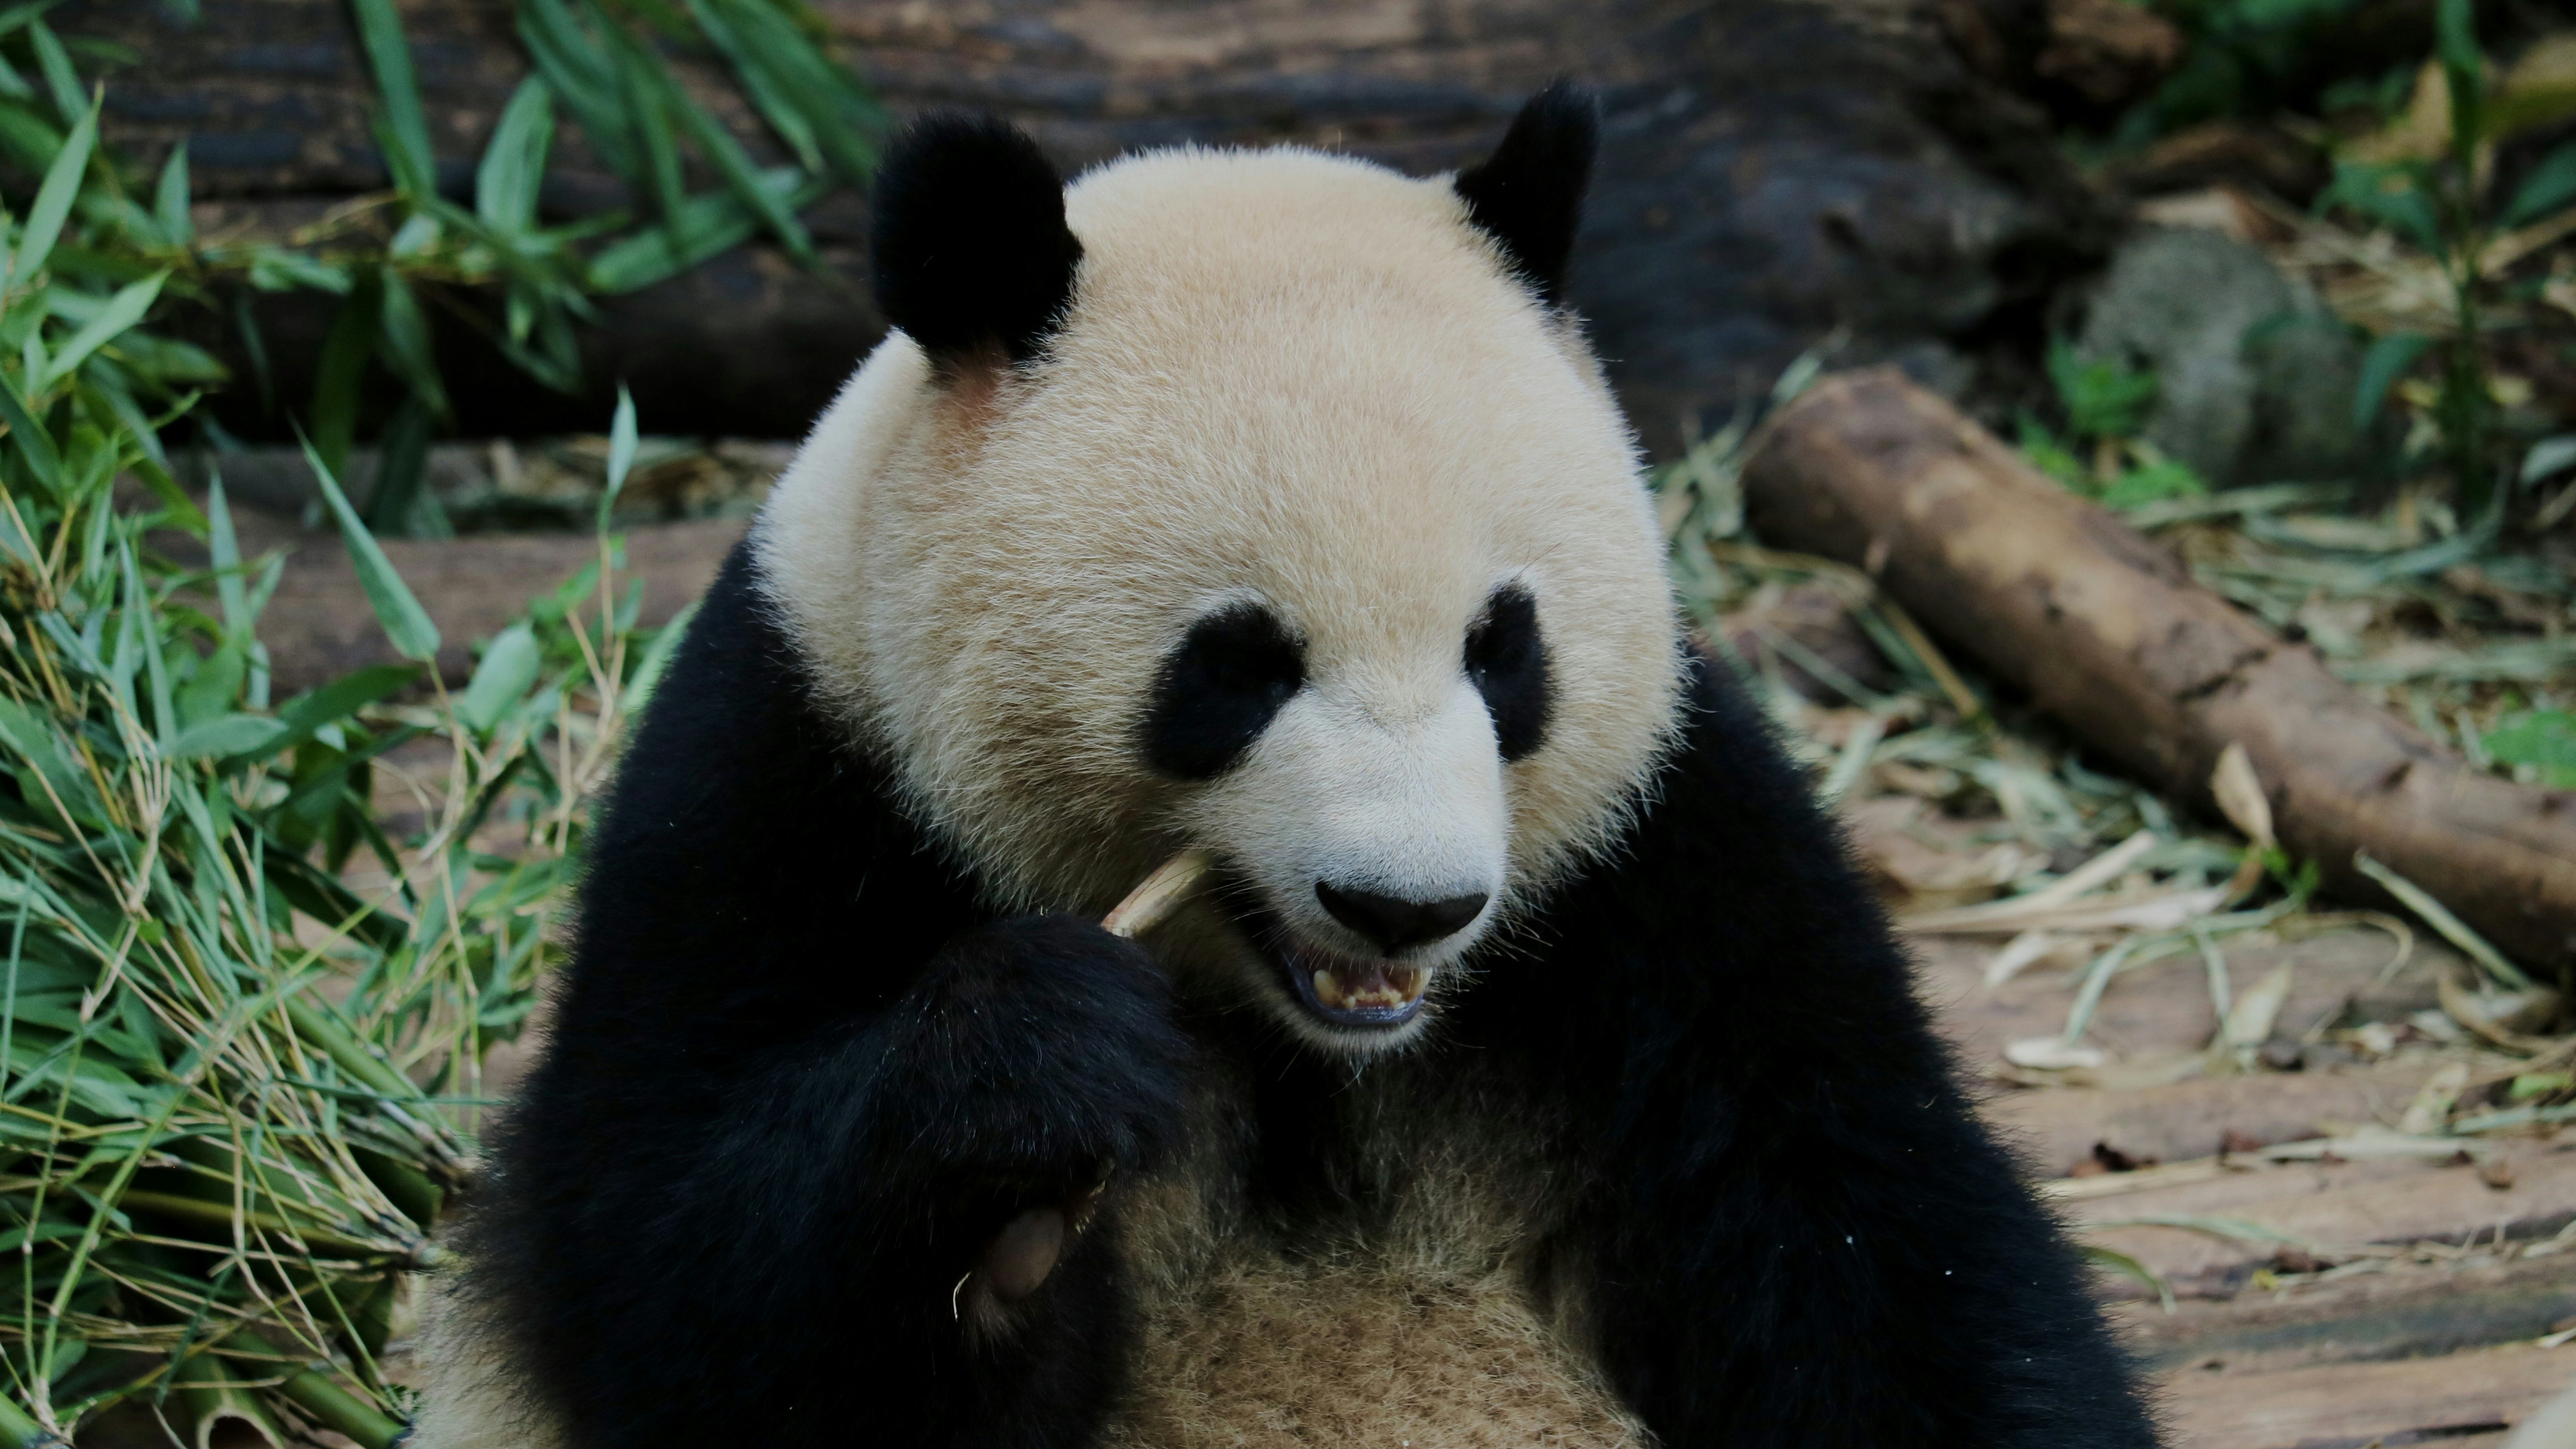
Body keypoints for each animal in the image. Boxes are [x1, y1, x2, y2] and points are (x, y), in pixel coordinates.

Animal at [412, 84, 2160, 1449]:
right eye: (1237, 664)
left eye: (1502, 646)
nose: (1404, 906)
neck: (1301, 1049)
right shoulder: (790, 774)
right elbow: (658, 1249)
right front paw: (1022, 1132)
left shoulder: (1668, 871)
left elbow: (1877, 1236)